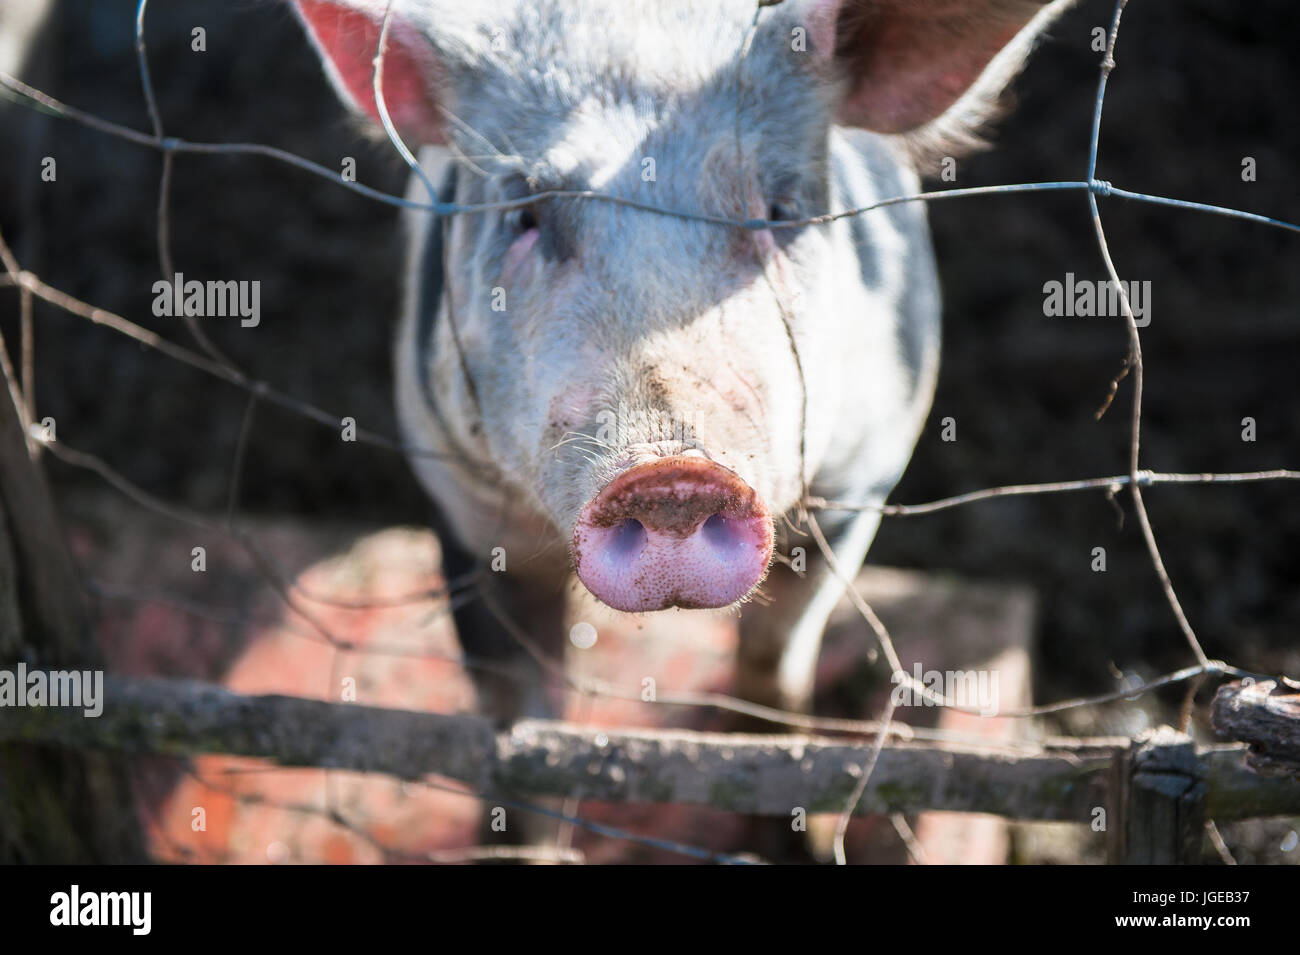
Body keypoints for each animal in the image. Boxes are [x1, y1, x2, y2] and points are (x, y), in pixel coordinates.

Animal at [292, 0, 1072, 729]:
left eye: (778, 211)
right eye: (526, 215)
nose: (670, 478)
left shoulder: (862, 480)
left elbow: (776, 660)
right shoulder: (460, 496)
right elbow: (517, 702)